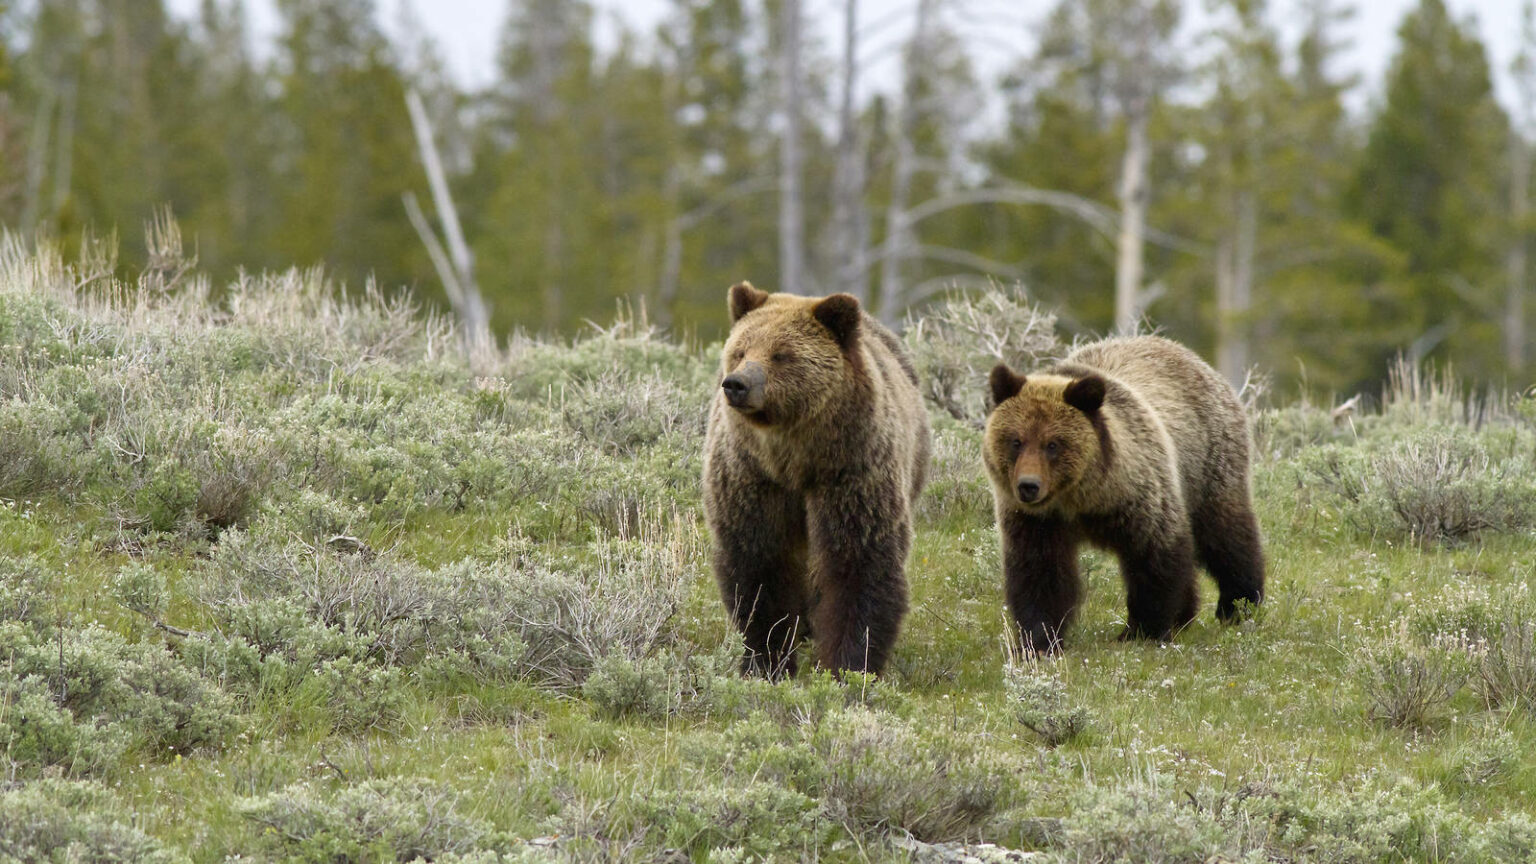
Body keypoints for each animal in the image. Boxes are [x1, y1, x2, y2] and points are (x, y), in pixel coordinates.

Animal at [703, 281, 931, 679]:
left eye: (781, 354)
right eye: (740, 350)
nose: (737, 384)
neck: (794, 457)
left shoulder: (851, 472)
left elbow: (858, 564)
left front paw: (847, 666)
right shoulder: (752, 477)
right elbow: (760, 567)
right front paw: (768, 661)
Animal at [983, 335, 1264, 651]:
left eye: (1053, 444)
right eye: (1016, 441)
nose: (1028, 486)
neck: (1081, 498)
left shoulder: (1138, 494)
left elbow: (1155, 556)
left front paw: (1142, 631)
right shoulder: (1038, 521)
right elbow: (1039, 572)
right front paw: (1038, 641)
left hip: (1209, 465)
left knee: (1226, 535)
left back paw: (1239, 604)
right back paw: (1186, 615)